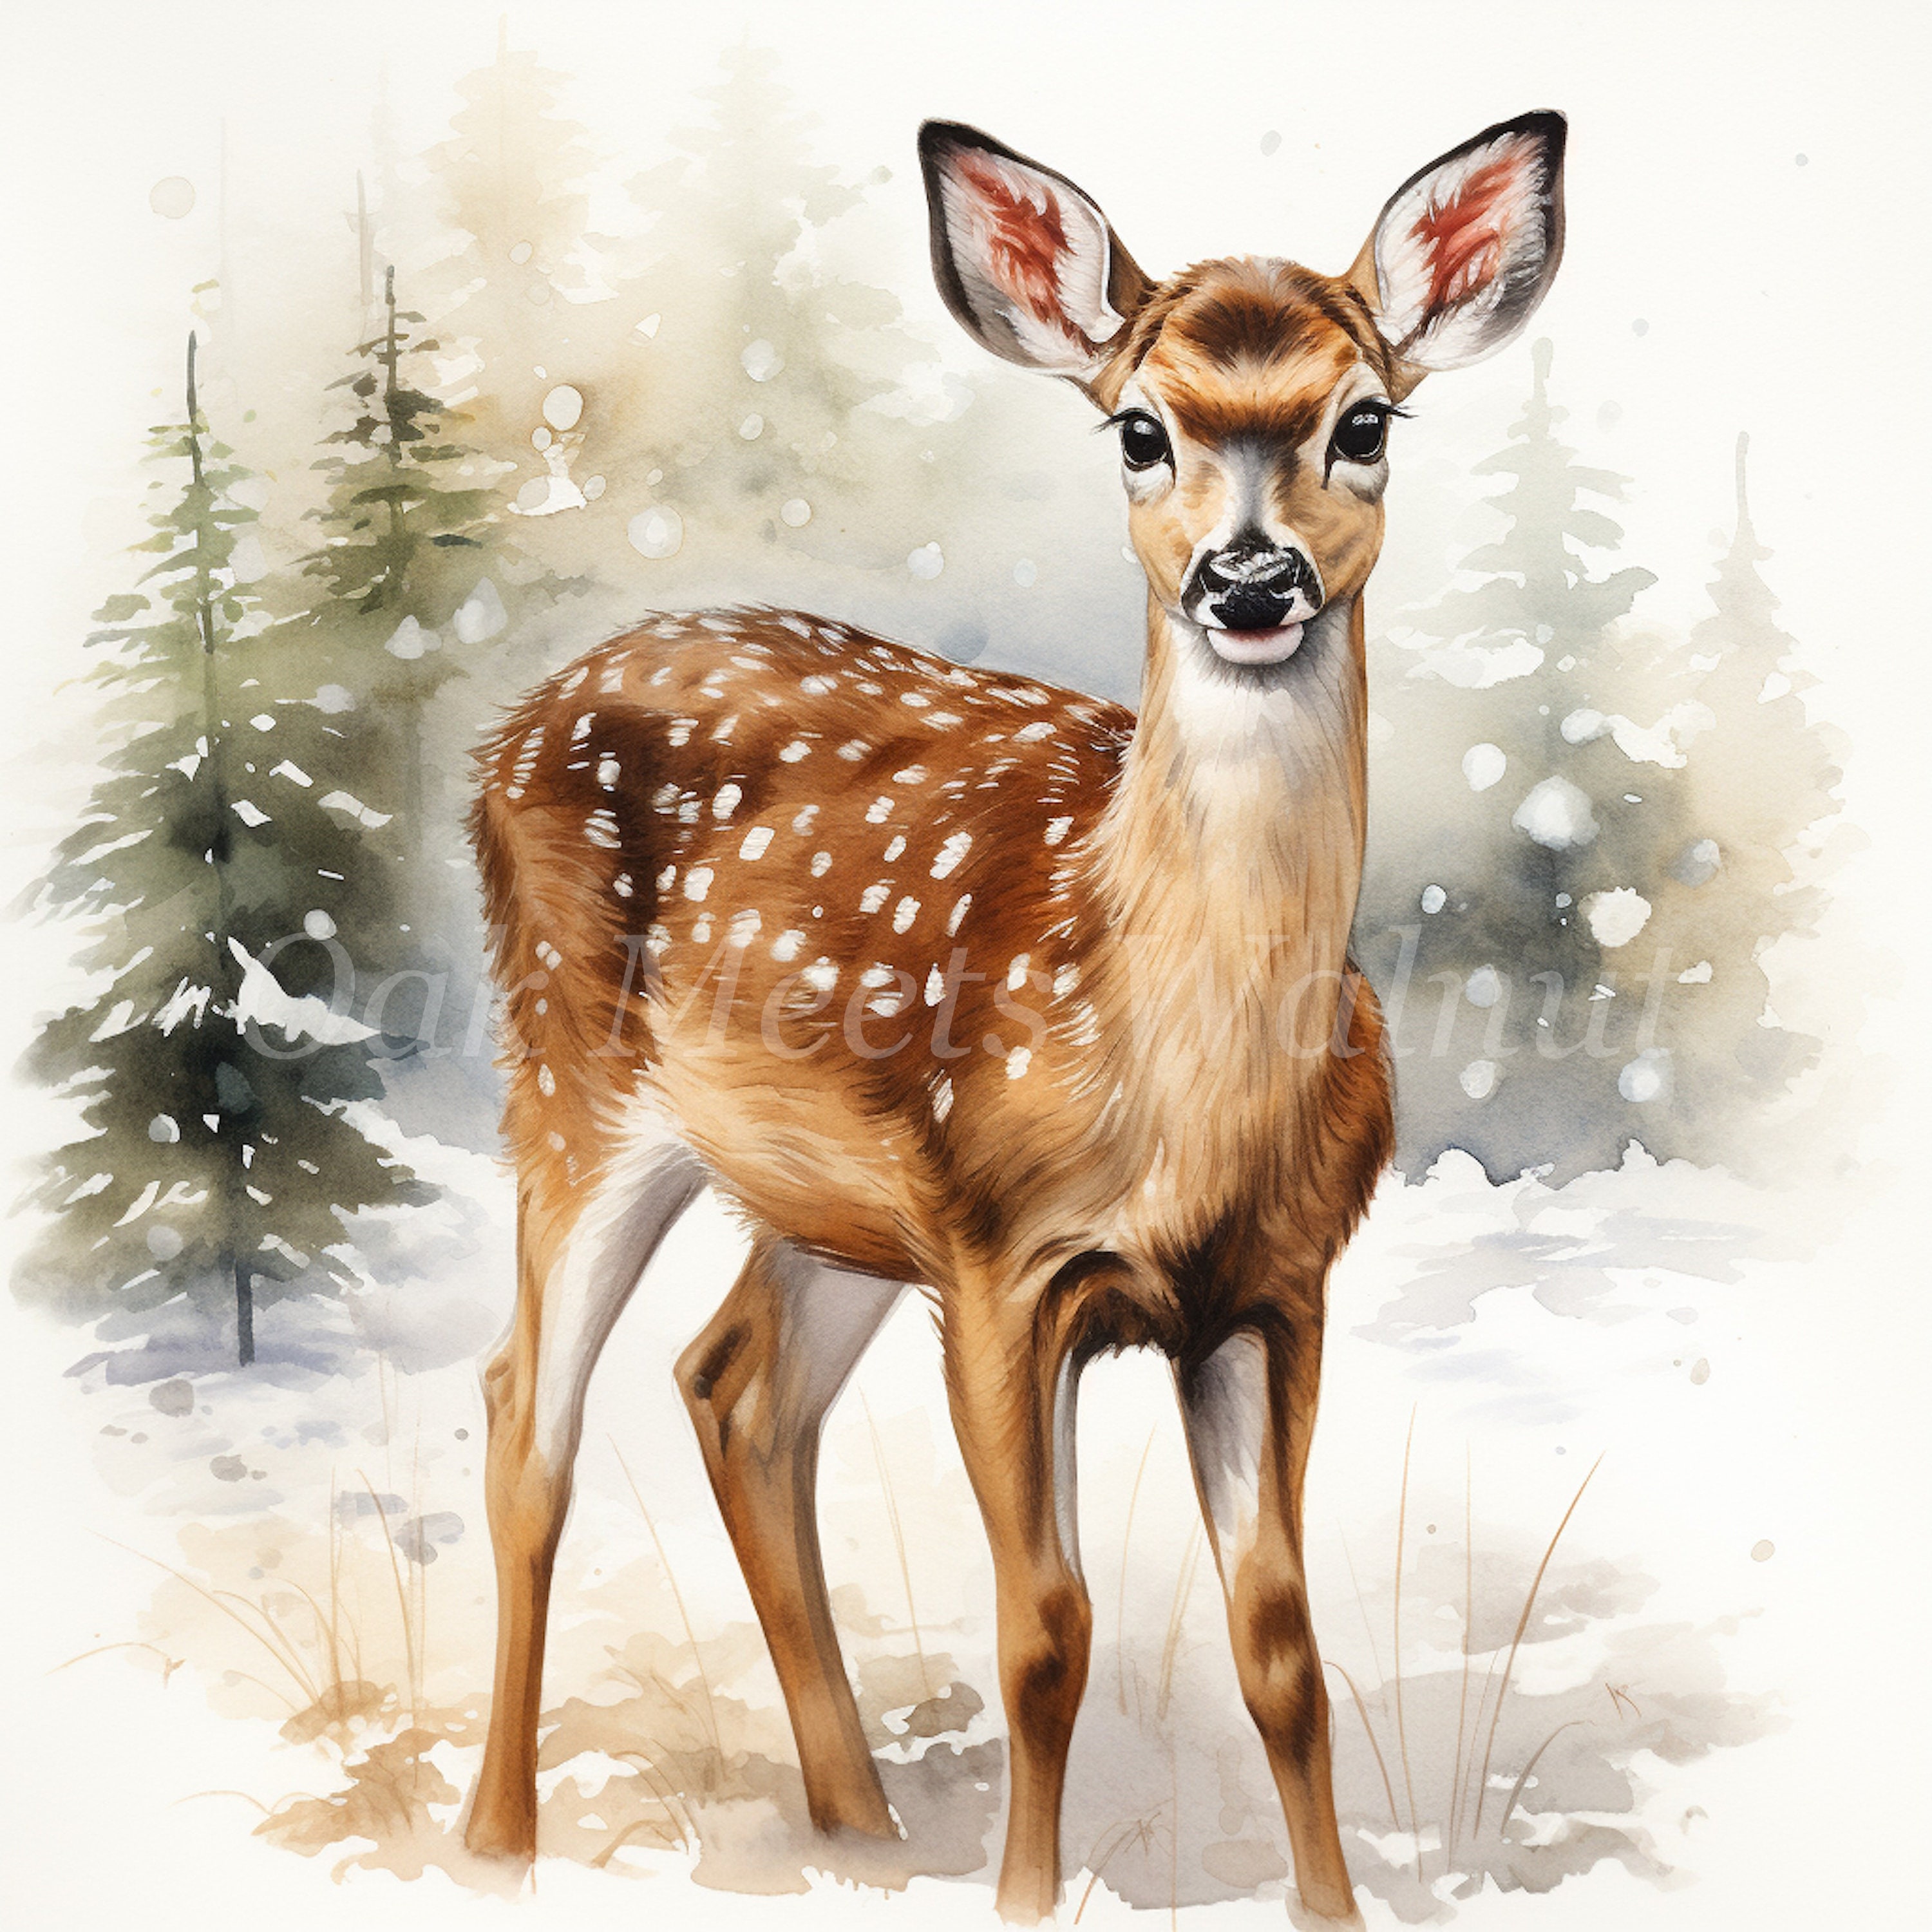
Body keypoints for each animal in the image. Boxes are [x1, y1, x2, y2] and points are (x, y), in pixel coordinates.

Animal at [460, 112, 1567, 1922]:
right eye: (1138, 428)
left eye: (1364, 423)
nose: (1247, 579)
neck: (1180, 1097)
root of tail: (512, 727)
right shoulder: (1002, 1260)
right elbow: (1044, 1628)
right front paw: (1028, 1893)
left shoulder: (1273, 1286)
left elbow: (1282, 1646)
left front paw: (1326, 1901)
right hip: (576, 1080)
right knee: (524, 1418)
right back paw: (495, 1839)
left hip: (835, 1206)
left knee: (734, 1389)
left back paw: (857, 1823)